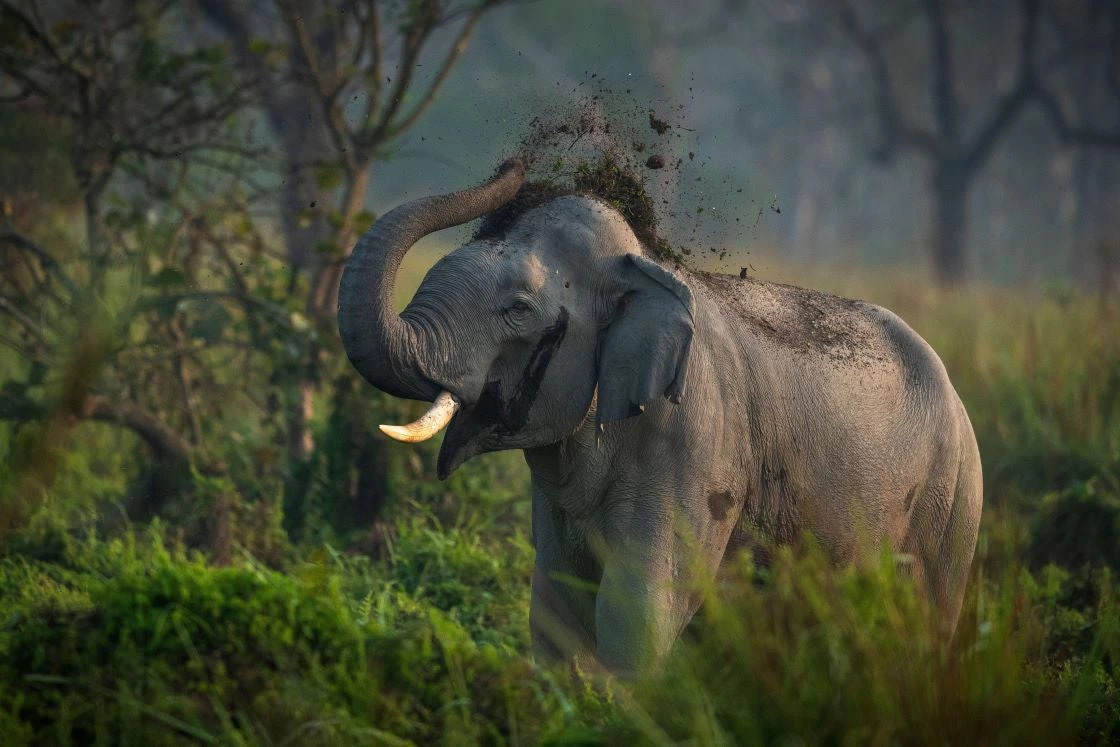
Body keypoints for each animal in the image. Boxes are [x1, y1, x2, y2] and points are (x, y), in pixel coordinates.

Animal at [336, 161, 985, 676]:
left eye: (517, 309)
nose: (514, 170)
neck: (640, 266)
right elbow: (558, 604)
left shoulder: (692, 446)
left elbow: (638, 607)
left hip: (952, 501)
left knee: (925, 614)